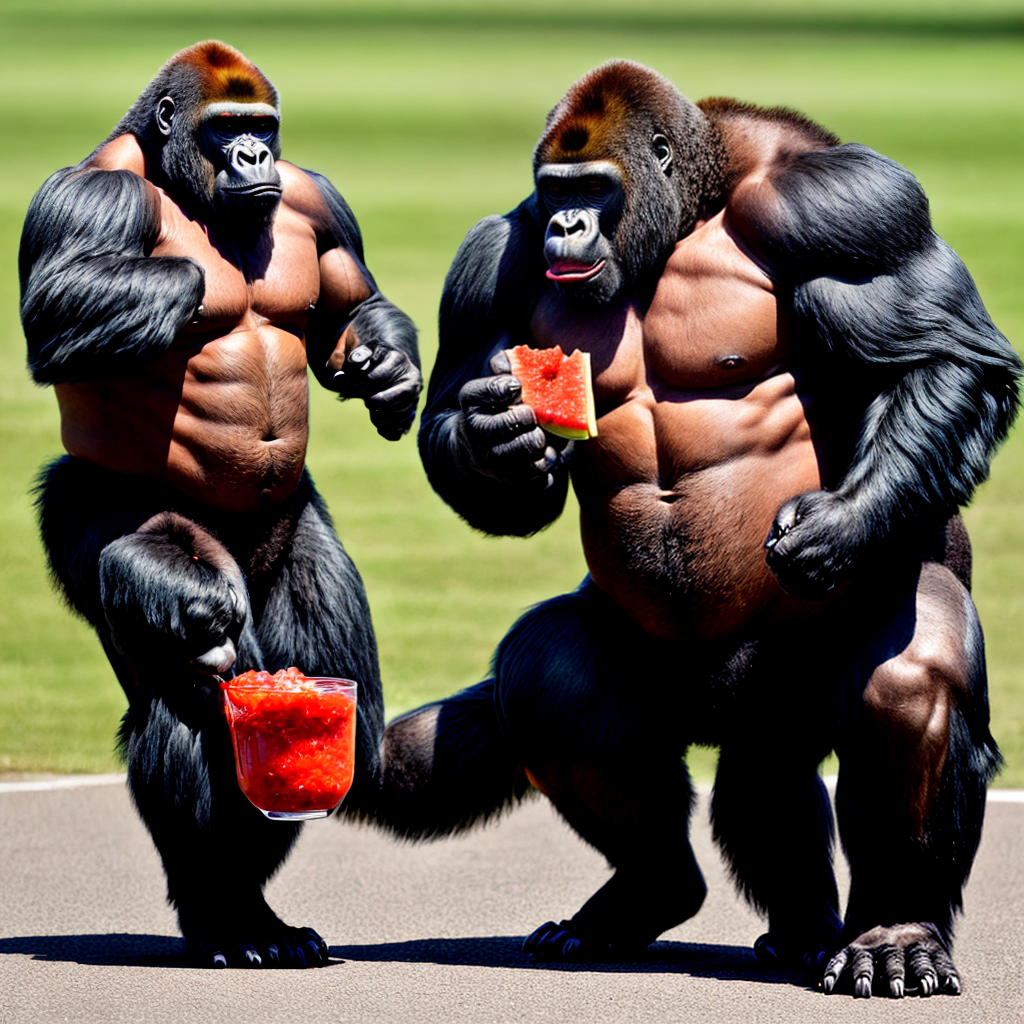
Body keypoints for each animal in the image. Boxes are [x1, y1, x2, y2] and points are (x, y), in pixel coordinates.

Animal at [19, 41, 422, 968]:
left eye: (263, 127)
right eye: (222, 128)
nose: (251, 156)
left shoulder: (319, 197)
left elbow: (351, 305)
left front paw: (386, 366)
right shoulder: (90, 196)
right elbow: (59, 306)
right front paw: (192, 274)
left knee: (325, 703)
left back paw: (249, 910)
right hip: (102, 516)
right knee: (182, 672)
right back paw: (218, 910)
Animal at [379, 61, 1021, 998]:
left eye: (594, 189)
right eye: (555, 191)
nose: (566, 224)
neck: (693, 207)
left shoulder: (856, 205)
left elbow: (948, 358)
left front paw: (844, 524)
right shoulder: (489, 258)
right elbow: (455, 401)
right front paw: (497, 438)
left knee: (905, 676)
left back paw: (893, 929)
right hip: (707, 695)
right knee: (567, 681)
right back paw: (668, 895)